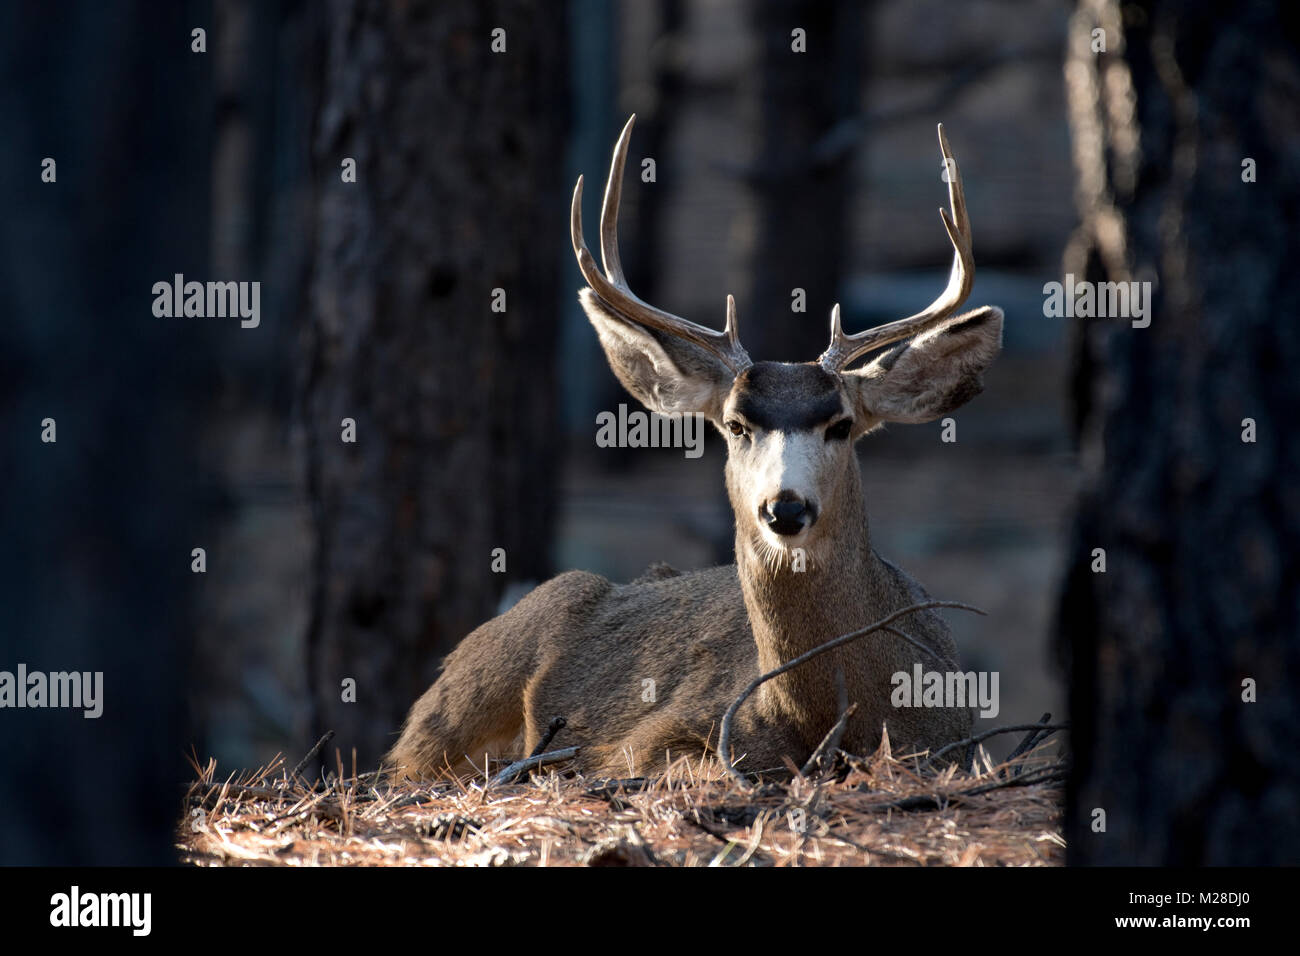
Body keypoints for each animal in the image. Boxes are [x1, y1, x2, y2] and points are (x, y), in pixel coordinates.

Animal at [386, 117, 1003, 782]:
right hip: (461, 701)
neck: (830, 719)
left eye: (840, 425)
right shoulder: (649, 740)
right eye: (734, 425)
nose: (786, 508)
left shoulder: (954, 745)